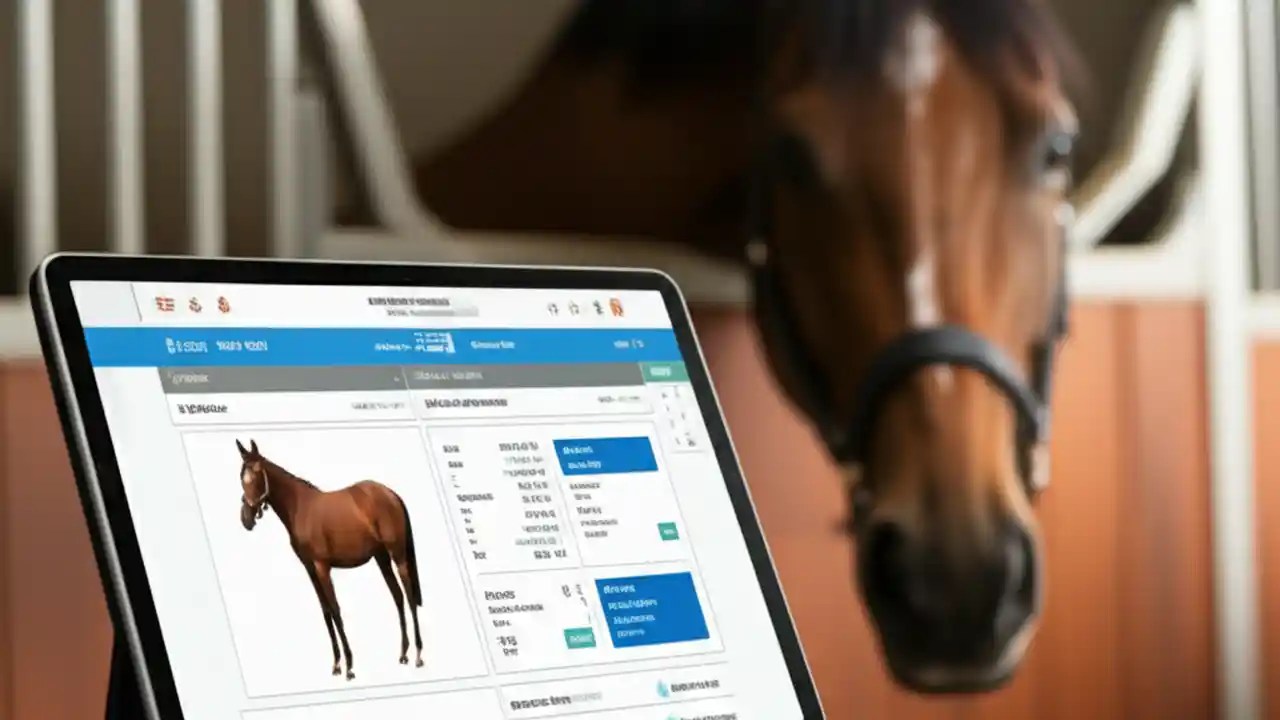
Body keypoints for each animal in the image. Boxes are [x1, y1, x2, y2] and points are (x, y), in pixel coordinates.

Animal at [235, 439, 425, 680]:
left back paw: (418, 654)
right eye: (242, 475)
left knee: (409, 596)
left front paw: (349, 666)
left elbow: (335, 610)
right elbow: (325, 612)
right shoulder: (310, 569)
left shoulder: (322, 567)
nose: (246, 518)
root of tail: (392, 494)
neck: (300, 507)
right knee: (397, 596)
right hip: (381, 557)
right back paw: (403, 653)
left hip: (397, 555)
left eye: (259, 473)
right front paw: (336, 664)